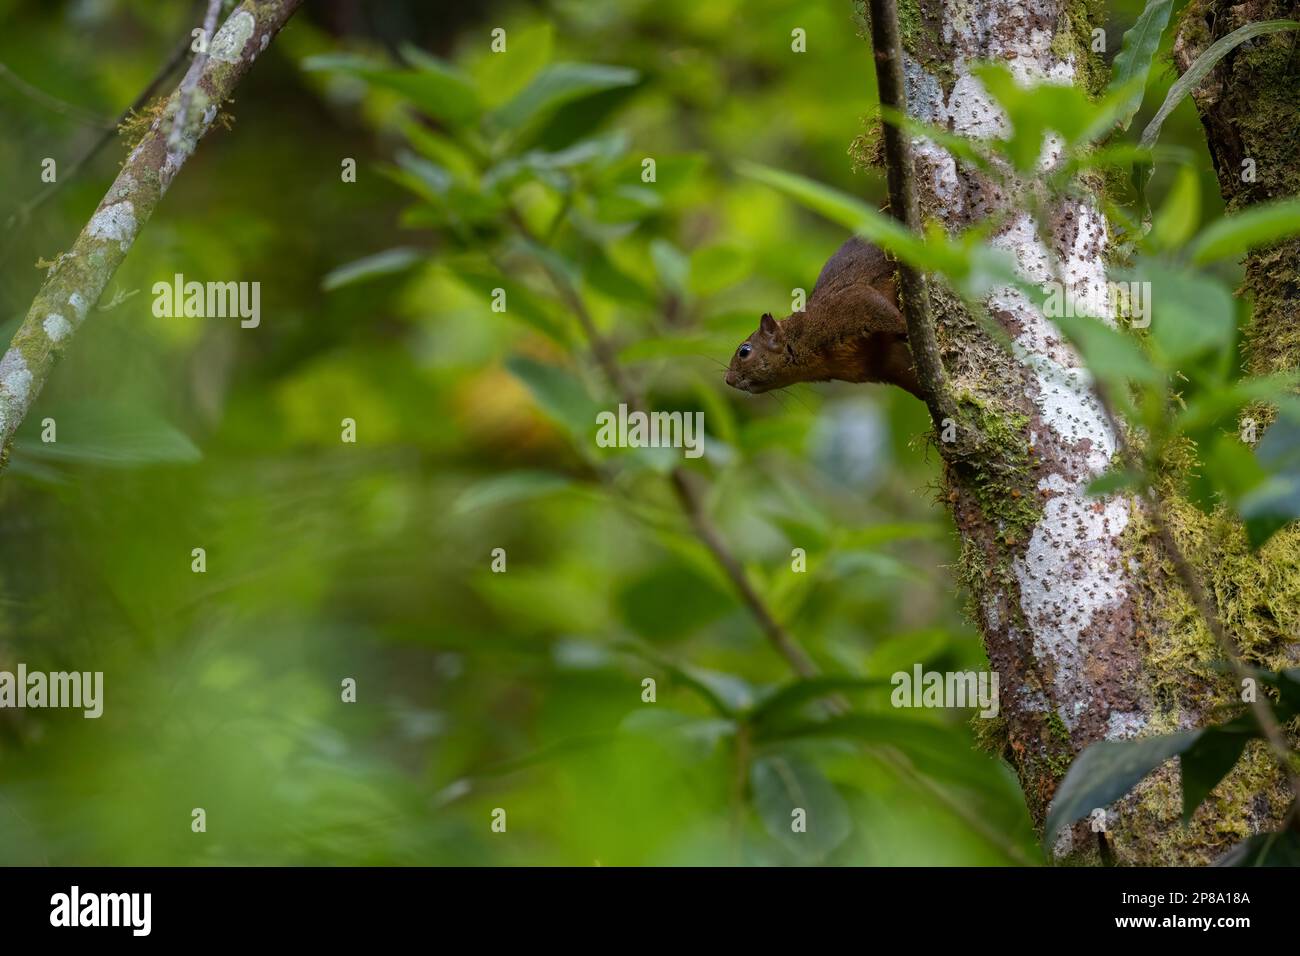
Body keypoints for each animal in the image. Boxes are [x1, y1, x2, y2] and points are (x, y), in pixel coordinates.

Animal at [724, 237, 921, 398]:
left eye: (744, 351)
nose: (728, 379)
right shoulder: (881, 360)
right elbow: (905, 371)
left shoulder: (850, 304)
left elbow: (884, 312)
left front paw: (908, 327)